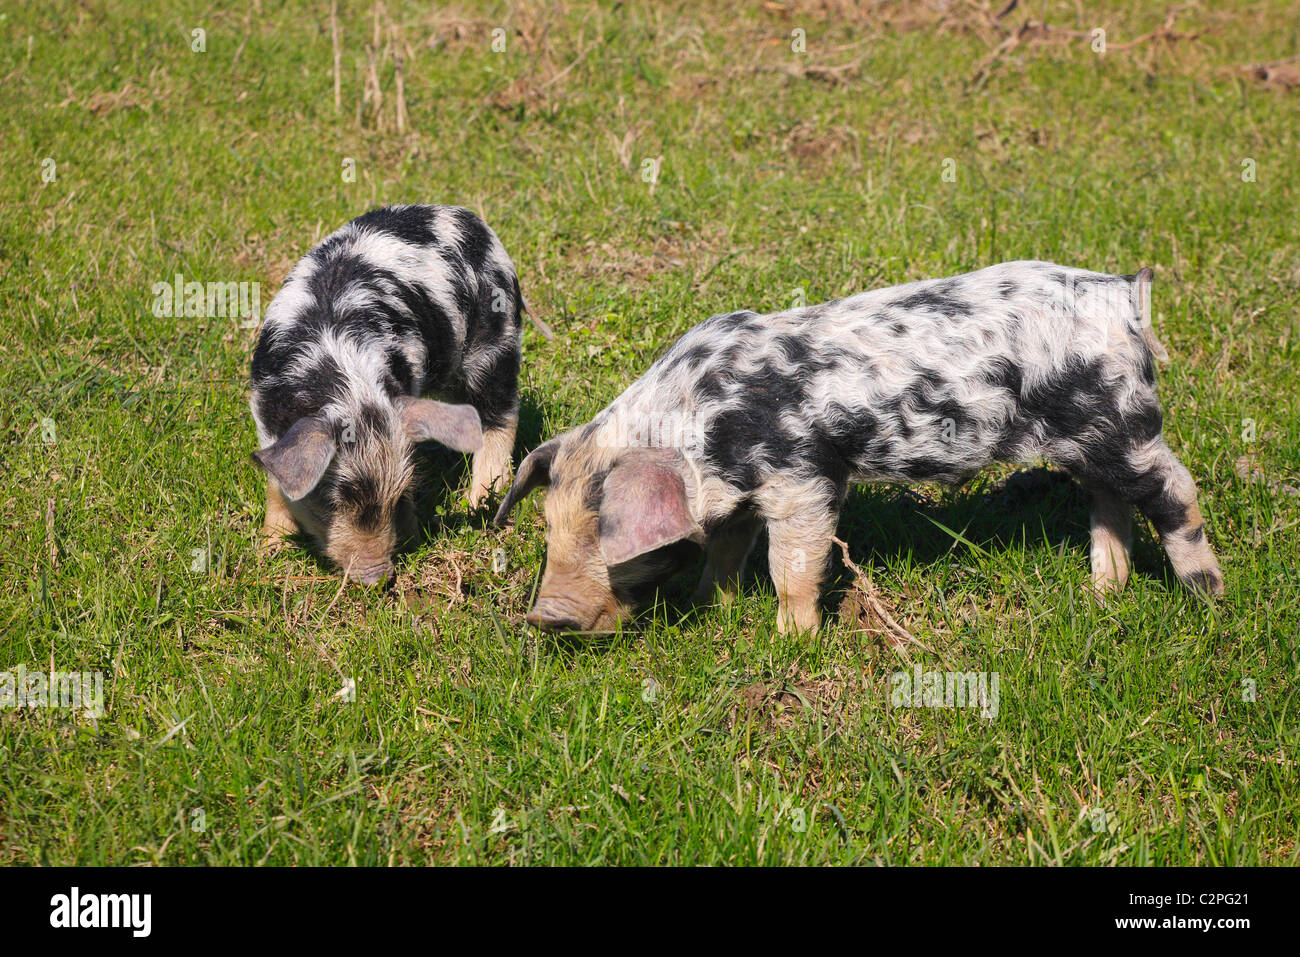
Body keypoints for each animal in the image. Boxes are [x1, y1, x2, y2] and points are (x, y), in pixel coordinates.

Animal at [250, 204, 524, 585]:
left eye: (394, 497)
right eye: (332, 503)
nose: (379, 578)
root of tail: (467, 217)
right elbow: (276, 483)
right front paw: (269, 549)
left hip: (497, 339)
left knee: (502, 414)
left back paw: (480, 503)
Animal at [494, 261, 1223, 633]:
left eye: (611, 540)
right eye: (550, 528)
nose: (545, 617)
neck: (702, 425)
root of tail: (1123, 296)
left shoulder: (804, 477)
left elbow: (792, 564)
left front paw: (792, 640)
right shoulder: (739, 495)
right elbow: (726, 551)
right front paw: (714, 607)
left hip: (1126, 423)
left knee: (1176, 491)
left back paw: (1207, 596)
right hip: (1088, 442)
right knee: (1108, 501)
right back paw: (1101, 592)